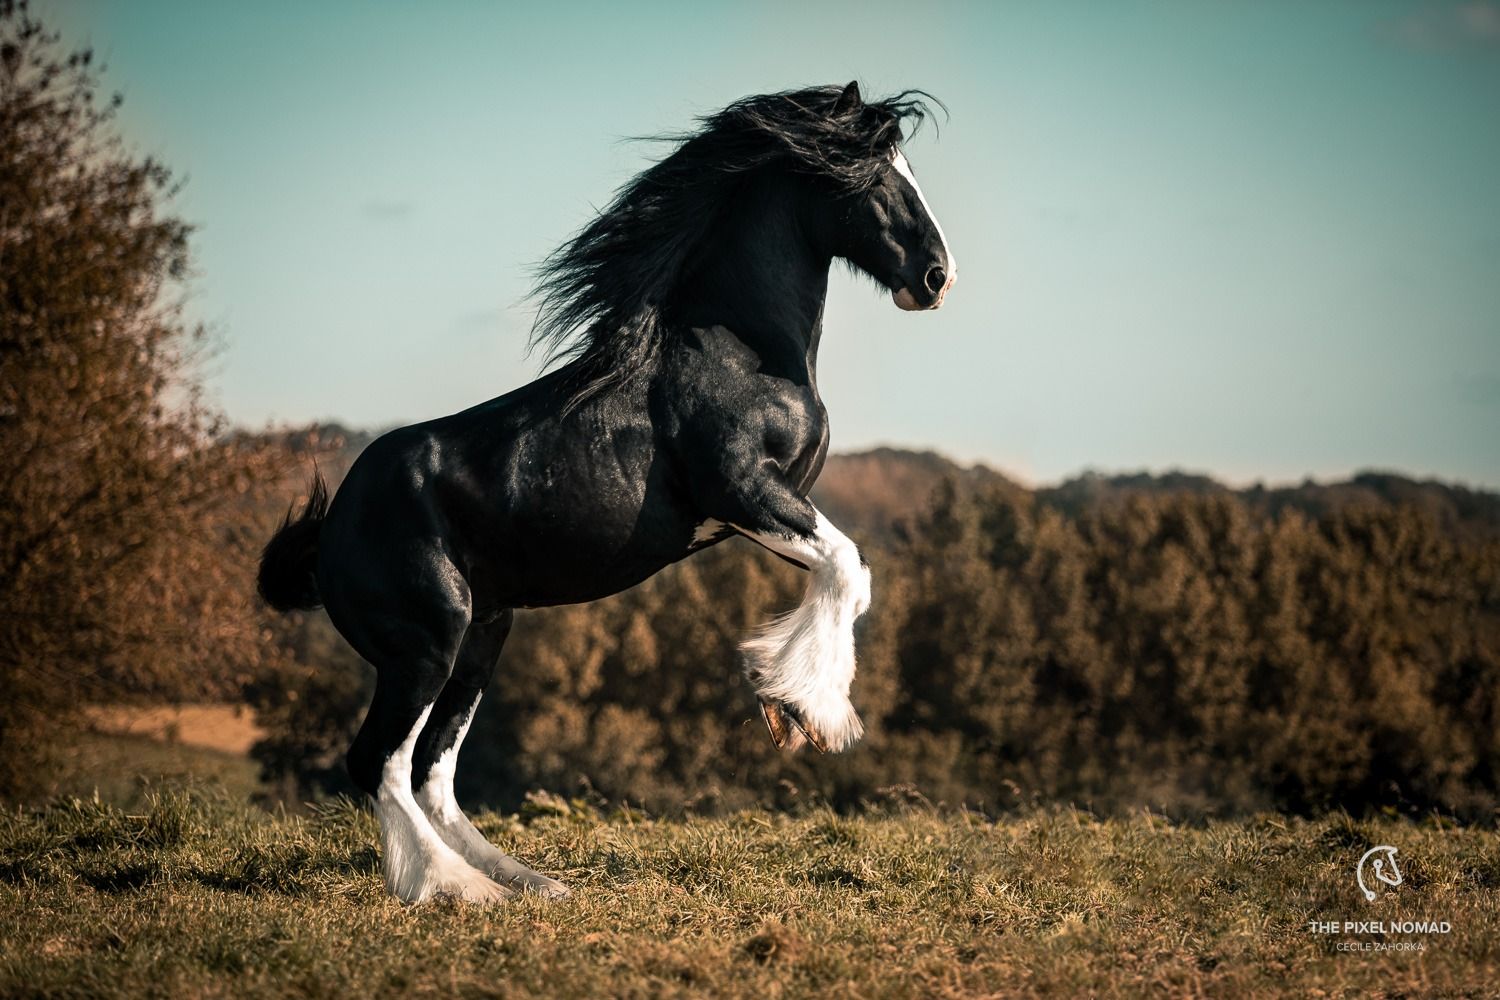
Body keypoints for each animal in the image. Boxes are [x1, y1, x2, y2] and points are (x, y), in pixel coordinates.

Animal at [257, 81, 956, 903]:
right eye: (874, 177)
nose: (938, 277)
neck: (740, 350)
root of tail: (330, 533)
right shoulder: (744, 489)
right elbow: (850, 568)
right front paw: (806, 708)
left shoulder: (759, 512)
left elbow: (846, 572)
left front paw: (789, 703)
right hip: (424, 643)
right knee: (381, 763)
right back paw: (460, 890)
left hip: (481, 638)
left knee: (433, 770)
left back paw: (530, 883)